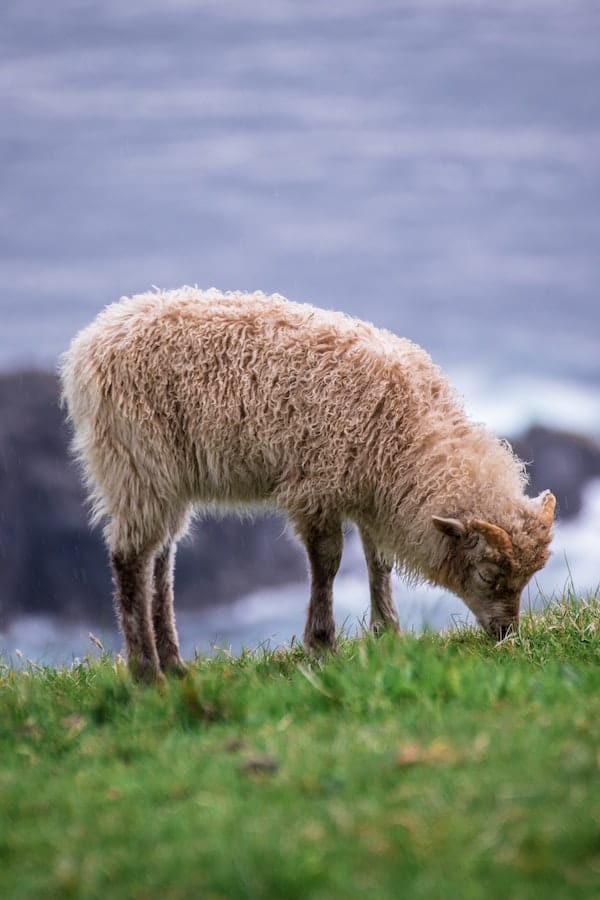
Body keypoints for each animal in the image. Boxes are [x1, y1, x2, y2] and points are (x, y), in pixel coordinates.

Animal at [59, 287, 556, 681]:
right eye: (488, 574)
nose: (506, 635)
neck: (409, 434)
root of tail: (91, 342)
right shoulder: (318, 485)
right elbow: (328, 562)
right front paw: (322, 644)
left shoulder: (370, 491)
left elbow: (378, 561)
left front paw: (386, 633)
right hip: (136, 463)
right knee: (130, 559)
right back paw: (145, 672)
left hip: (166, 478)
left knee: (161, 558)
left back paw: (174, 663)